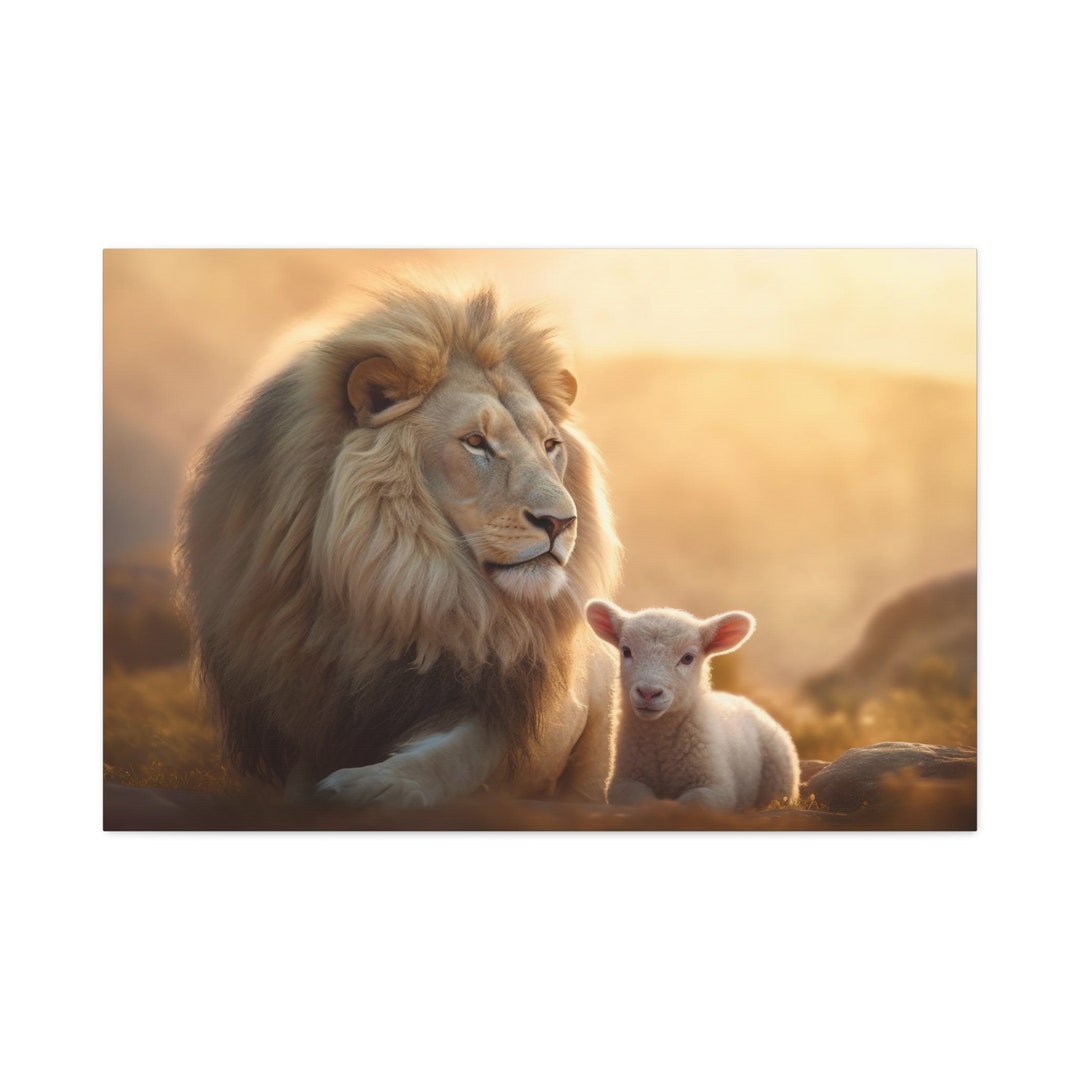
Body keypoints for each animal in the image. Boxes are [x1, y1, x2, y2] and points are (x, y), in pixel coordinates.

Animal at [176, 283, 623, 808]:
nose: (561, 521)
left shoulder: (496, 696)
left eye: (551, 445)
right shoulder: (310, 708)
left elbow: (452, 754)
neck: (397, 581)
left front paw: (371, 785)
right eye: (476, 441)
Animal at [584, 599, 800, 811]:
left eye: (687, 658)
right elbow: (642, 801)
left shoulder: (717, 788)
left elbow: (692, 804)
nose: (648, 693)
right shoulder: (624, 783)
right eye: (626, 651)